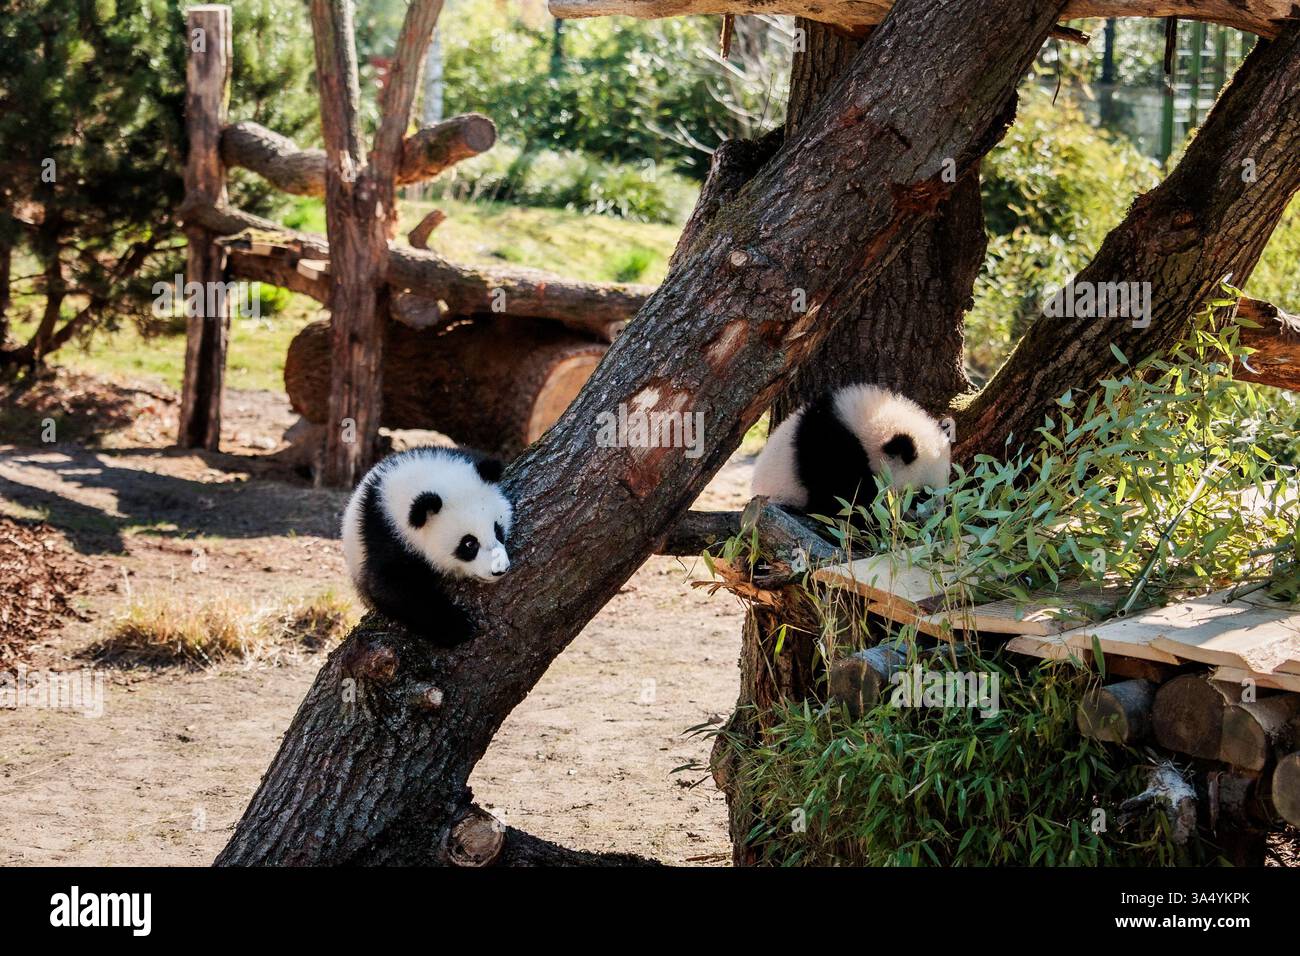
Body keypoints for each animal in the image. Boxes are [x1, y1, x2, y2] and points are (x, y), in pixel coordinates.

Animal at [341, 446, 512, 646]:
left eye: (497, 529)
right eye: (469, 543)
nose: (500, 570)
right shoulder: (385, 533)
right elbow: (391, 586)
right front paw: (456, 627)